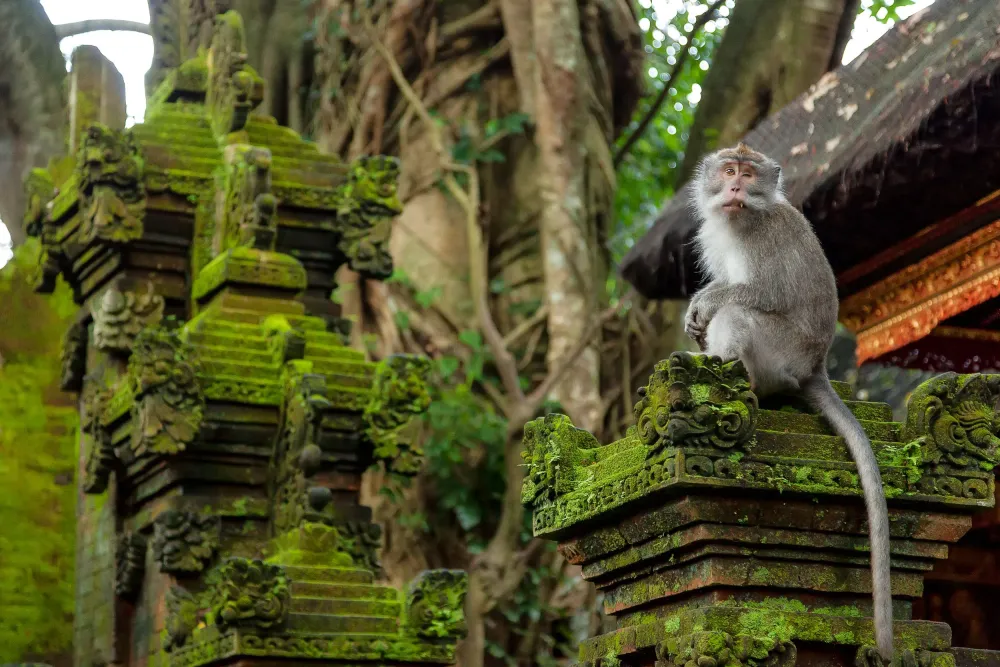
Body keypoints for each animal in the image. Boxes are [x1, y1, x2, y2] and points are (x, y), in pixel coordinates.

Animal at [683, 143, 894, 662]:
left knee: (739, 312)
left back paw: (724, 372)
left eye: (748, 174)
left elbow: (762, 291)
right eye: (729, 170)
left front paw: (704, 303)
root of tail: (815, 366)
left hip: (782, 352)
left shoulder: (766, 238)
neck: (742, 220)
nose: (735, 186)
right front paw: (693, 316)